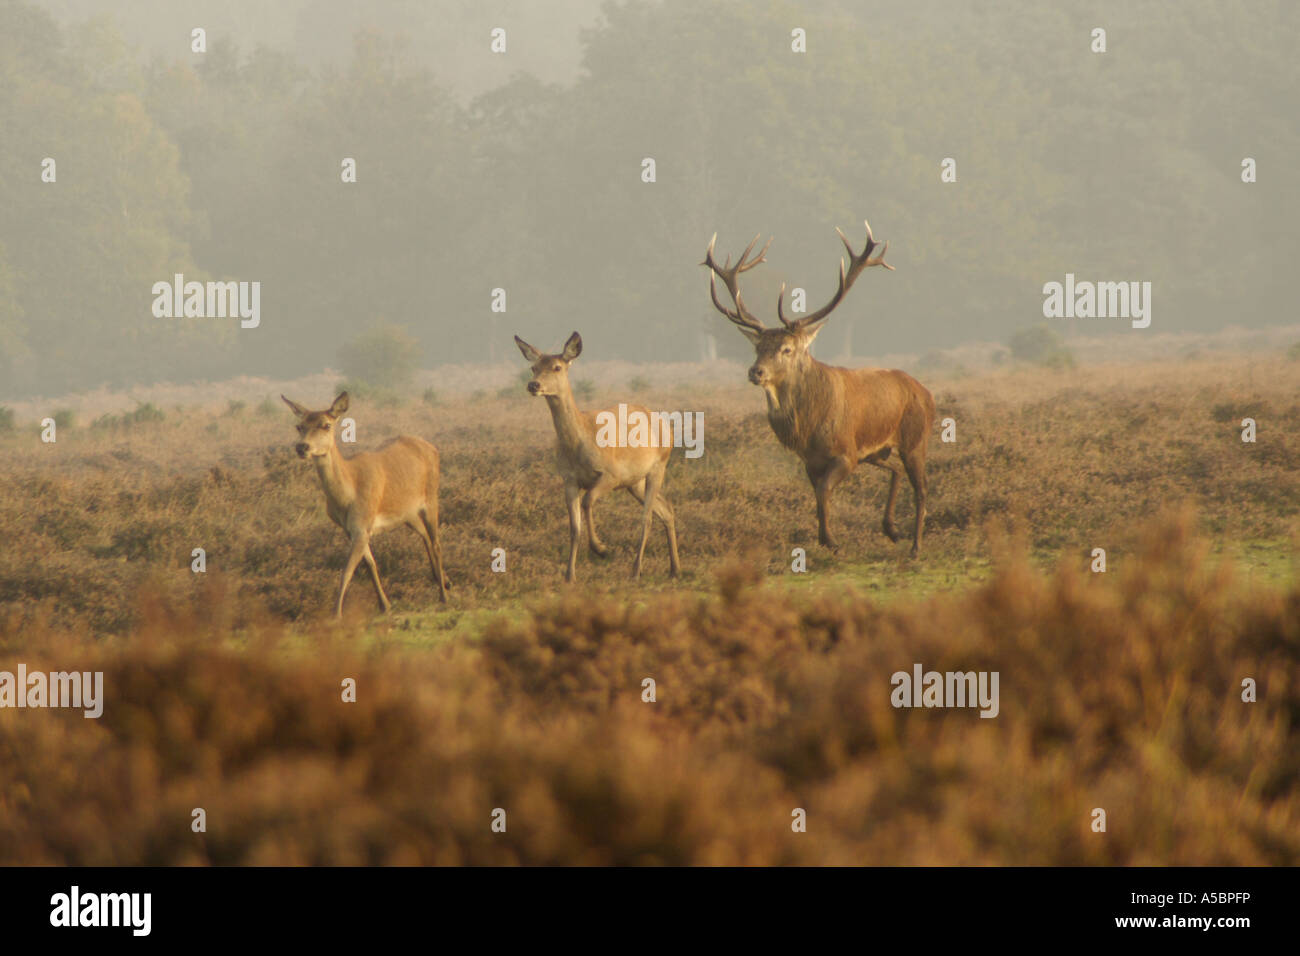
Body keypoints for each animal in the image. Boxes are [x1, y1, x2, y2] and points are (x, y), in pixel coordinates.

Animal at [280, 391, 450, 616]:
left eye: (326, 424)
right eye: (299, 426)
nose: (302, 447)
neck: (347, 497)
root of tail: (432, 448)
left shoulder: (363, 524)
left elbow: (347, 571)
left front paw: (336, 614)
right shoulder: (350, 529)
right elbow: (370, 564)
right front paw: (384, 605)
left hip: (431, 497)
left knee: (436, 542)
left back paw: (443, 595)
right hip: (407, 512)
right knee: (425, 536)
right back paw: (444, 581)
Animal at [514, 331, 681, 582]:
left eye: (557, 367)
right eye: (534, 367)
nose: (533, 384)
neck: (579, 445)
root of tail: (665, 425)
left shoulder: (611, 474)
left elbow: (587, 501)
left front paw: (601, 549)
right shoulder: (569, 479)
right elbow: (574, 527)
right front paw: (569, 575)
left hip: (659, 465)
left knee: (647, 517)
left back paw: (636, 571)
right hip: (635, 481)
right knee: (666, 509)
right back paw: (674, 569)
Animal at [702, 220, 935, 556]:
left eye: (787, 349)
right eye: (757, 347)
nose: (755, 371)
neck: (808, 429)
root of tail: (926, 393)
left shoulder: (846, 453)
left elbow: (824, 491)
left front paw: (831, 540)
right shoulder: (810, 462)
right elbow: (817, 495)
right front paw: (825, 537)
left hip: (915, 438)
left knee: (922, 487)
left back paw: (915, 546)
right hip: (878, 450)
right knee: (896, 468)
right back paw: (891, 529)